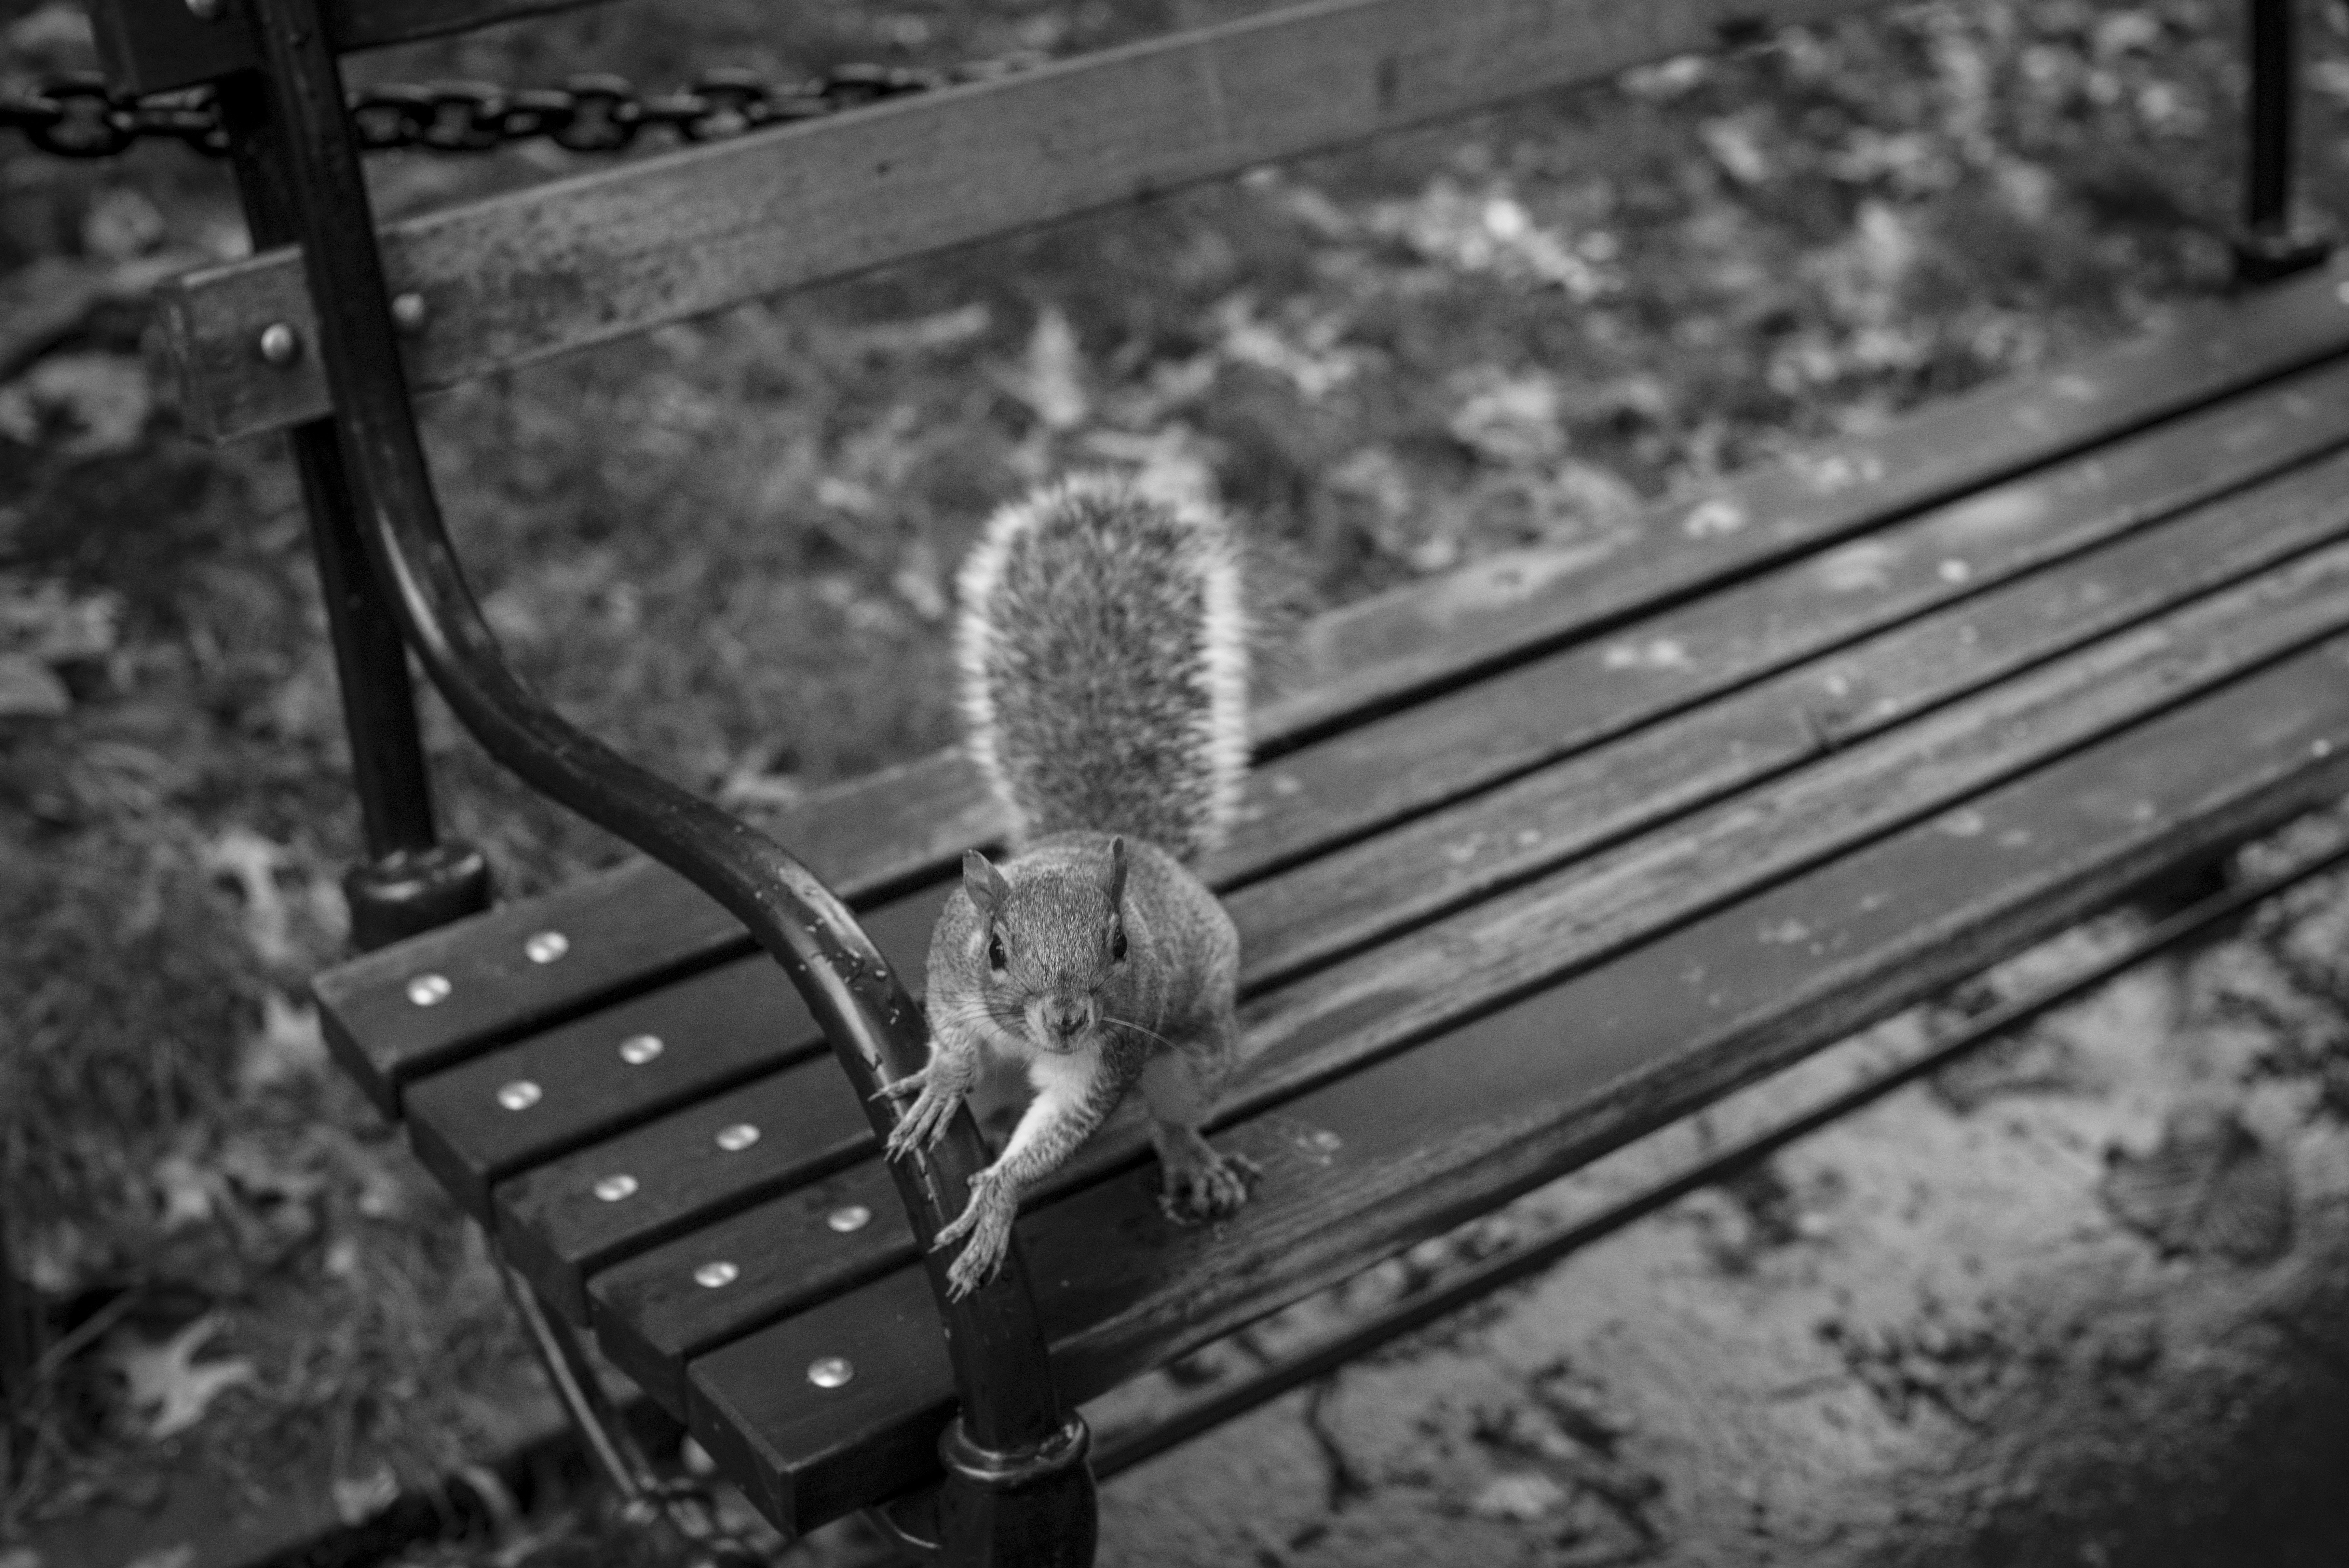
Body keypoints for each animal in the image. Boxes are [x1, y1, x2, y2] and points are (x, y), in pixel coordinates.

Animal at [879, 474, 1258, 1300]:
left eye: (1119, 946)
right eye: (995, 950)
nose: (1064, 1019)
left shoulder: (1114, 1046)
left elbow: (1062, 1123)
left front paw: (996, 1201)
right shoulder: (949, 973)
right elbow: (953, 1039)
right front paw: (943, 1079)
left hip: (1197, 1053)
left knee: (1174, 1112)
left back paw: (1190, 1156)